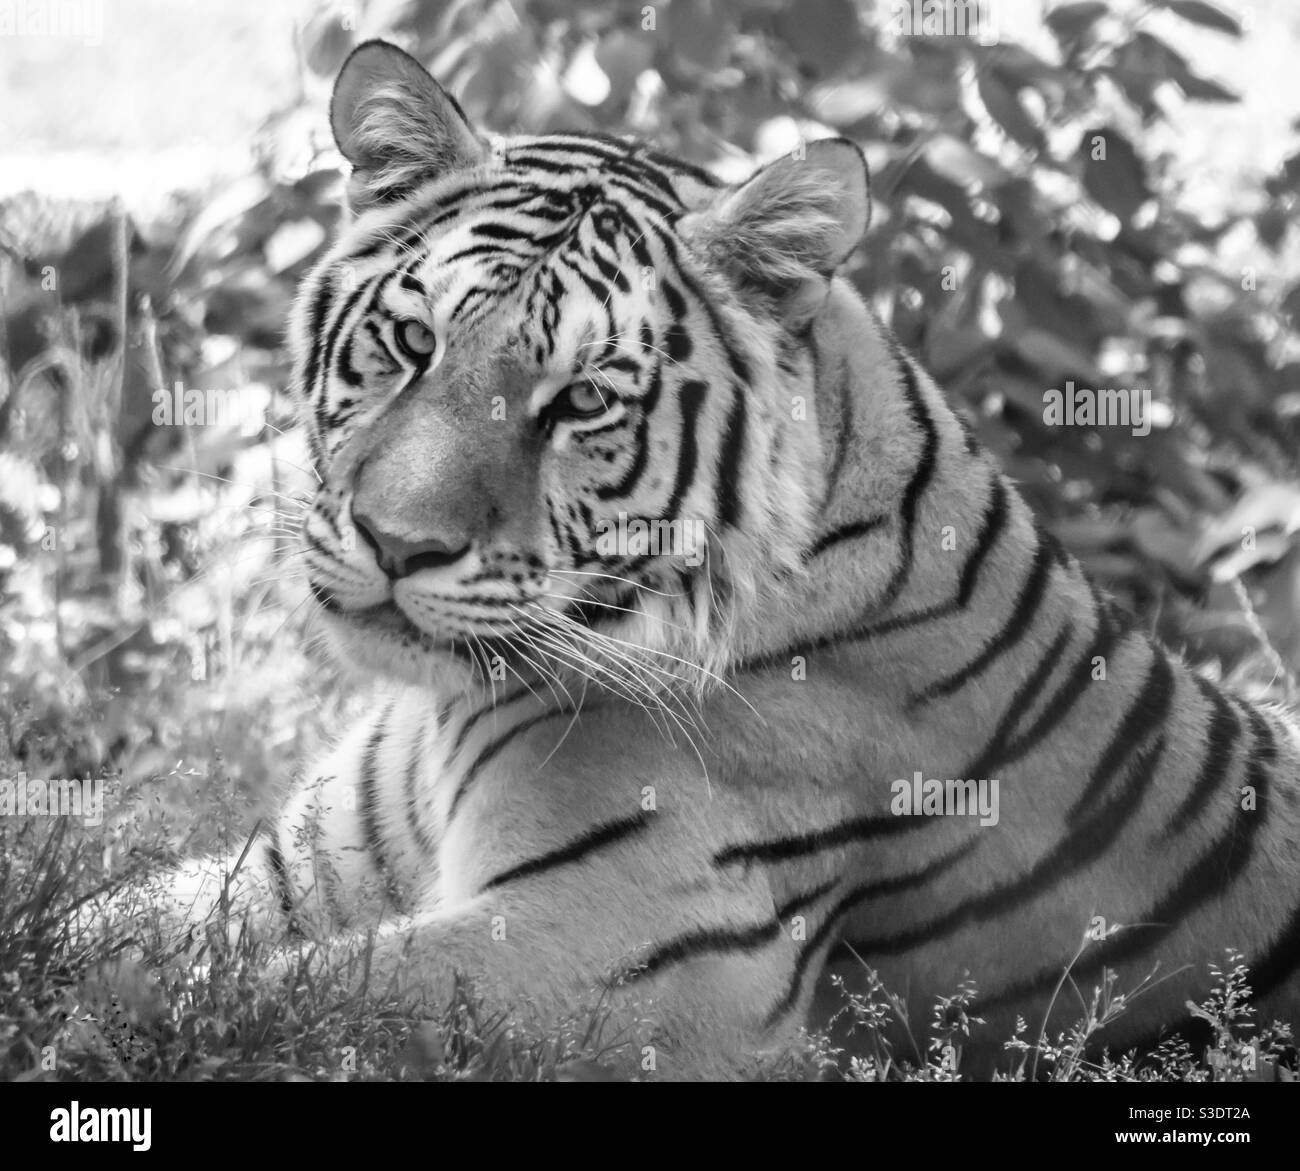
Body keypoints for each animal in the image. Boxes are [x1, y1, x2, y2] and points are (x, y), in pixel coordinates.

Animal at [117, 39, 1300, 1079]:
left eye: (581, 400)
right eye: (415, 344)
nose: (398, 543)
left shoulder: (619, 950)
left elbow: (267, 990)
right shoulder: (310, 863)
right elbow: (123, 918)